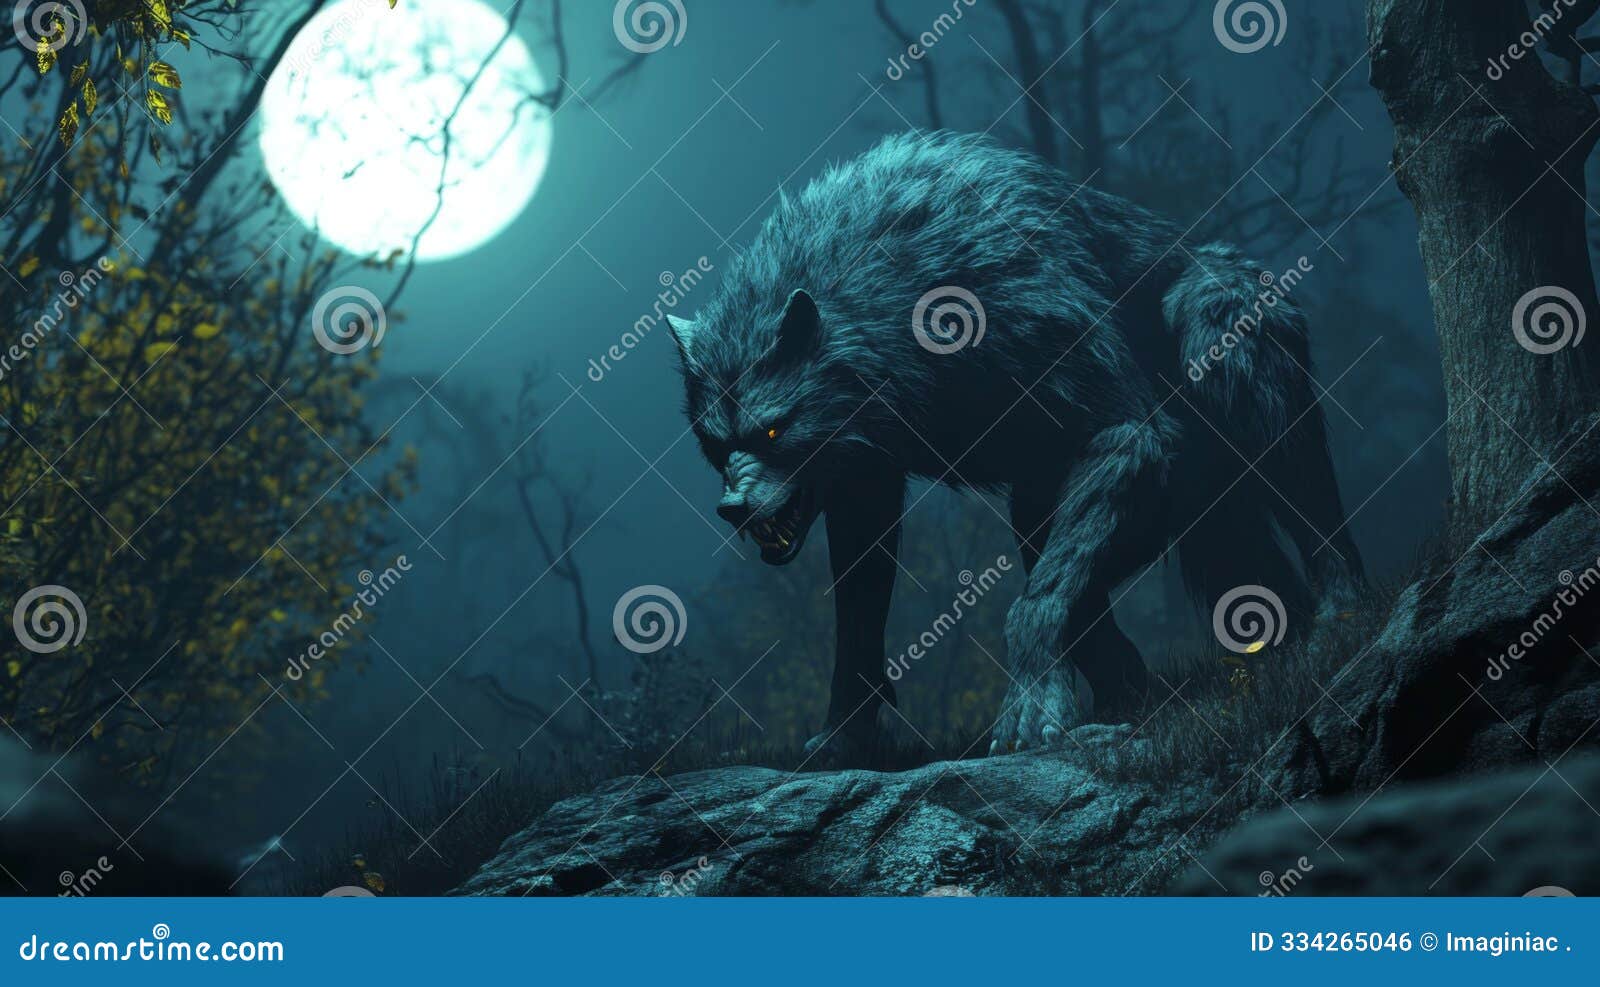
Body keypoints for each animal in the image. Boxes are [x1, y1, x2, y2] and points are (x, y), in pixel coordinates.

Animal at [667, 132, 1365, 758]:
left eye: (774, 429)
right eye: (713, 445)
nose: (733, 507)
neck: (900, 306)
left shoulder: (1122, 432)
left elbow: (1036, 604)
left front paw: (1035, 709)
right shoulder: (866, 486)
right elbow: (858, 623)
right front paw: (844, 739)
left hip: (1219, 343)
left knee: (1318, 521)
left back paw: (1336, 624)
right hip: (1099, 505)